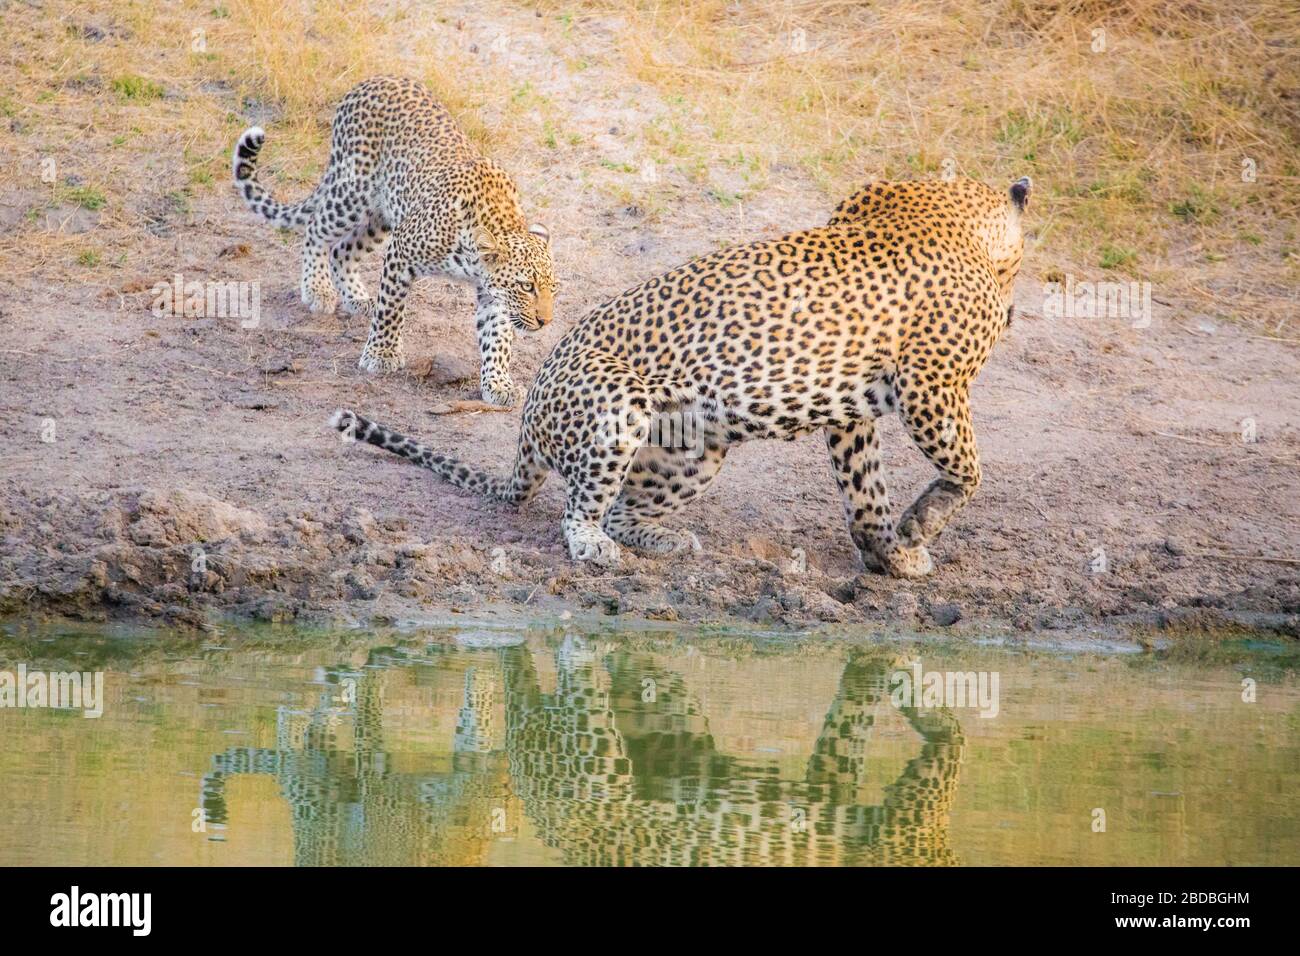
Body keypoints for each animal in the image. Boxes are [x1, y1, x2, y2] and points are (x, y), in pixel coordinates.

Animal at [231, 75, 556, 405]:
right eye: (526, 287)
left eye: (552, 288)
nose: (545, 321)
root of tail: (370, 80)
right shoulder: (402, 251)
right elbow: (391, 308)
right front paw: (382, 354)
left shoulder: (493, 295)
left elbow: (498, 338)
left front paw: (499, 384)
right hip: (352, 194)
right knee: (315, 228)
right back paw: (317, 289)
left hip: (380, 217)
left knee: (342, 250)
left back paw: (356, 298)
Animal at [330, 175, 1030, 578]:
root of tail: (526, 422)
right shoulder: (931, 385)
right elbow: (969, 468)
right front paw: (916, 531)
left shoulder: (853, 413)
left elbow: (867, 491)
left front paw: (889, 551)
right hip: (621, 404)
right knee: (581, 513)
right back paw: (600, 552)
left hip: (695, 448)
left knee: (619, 509)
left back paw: (663, 542)